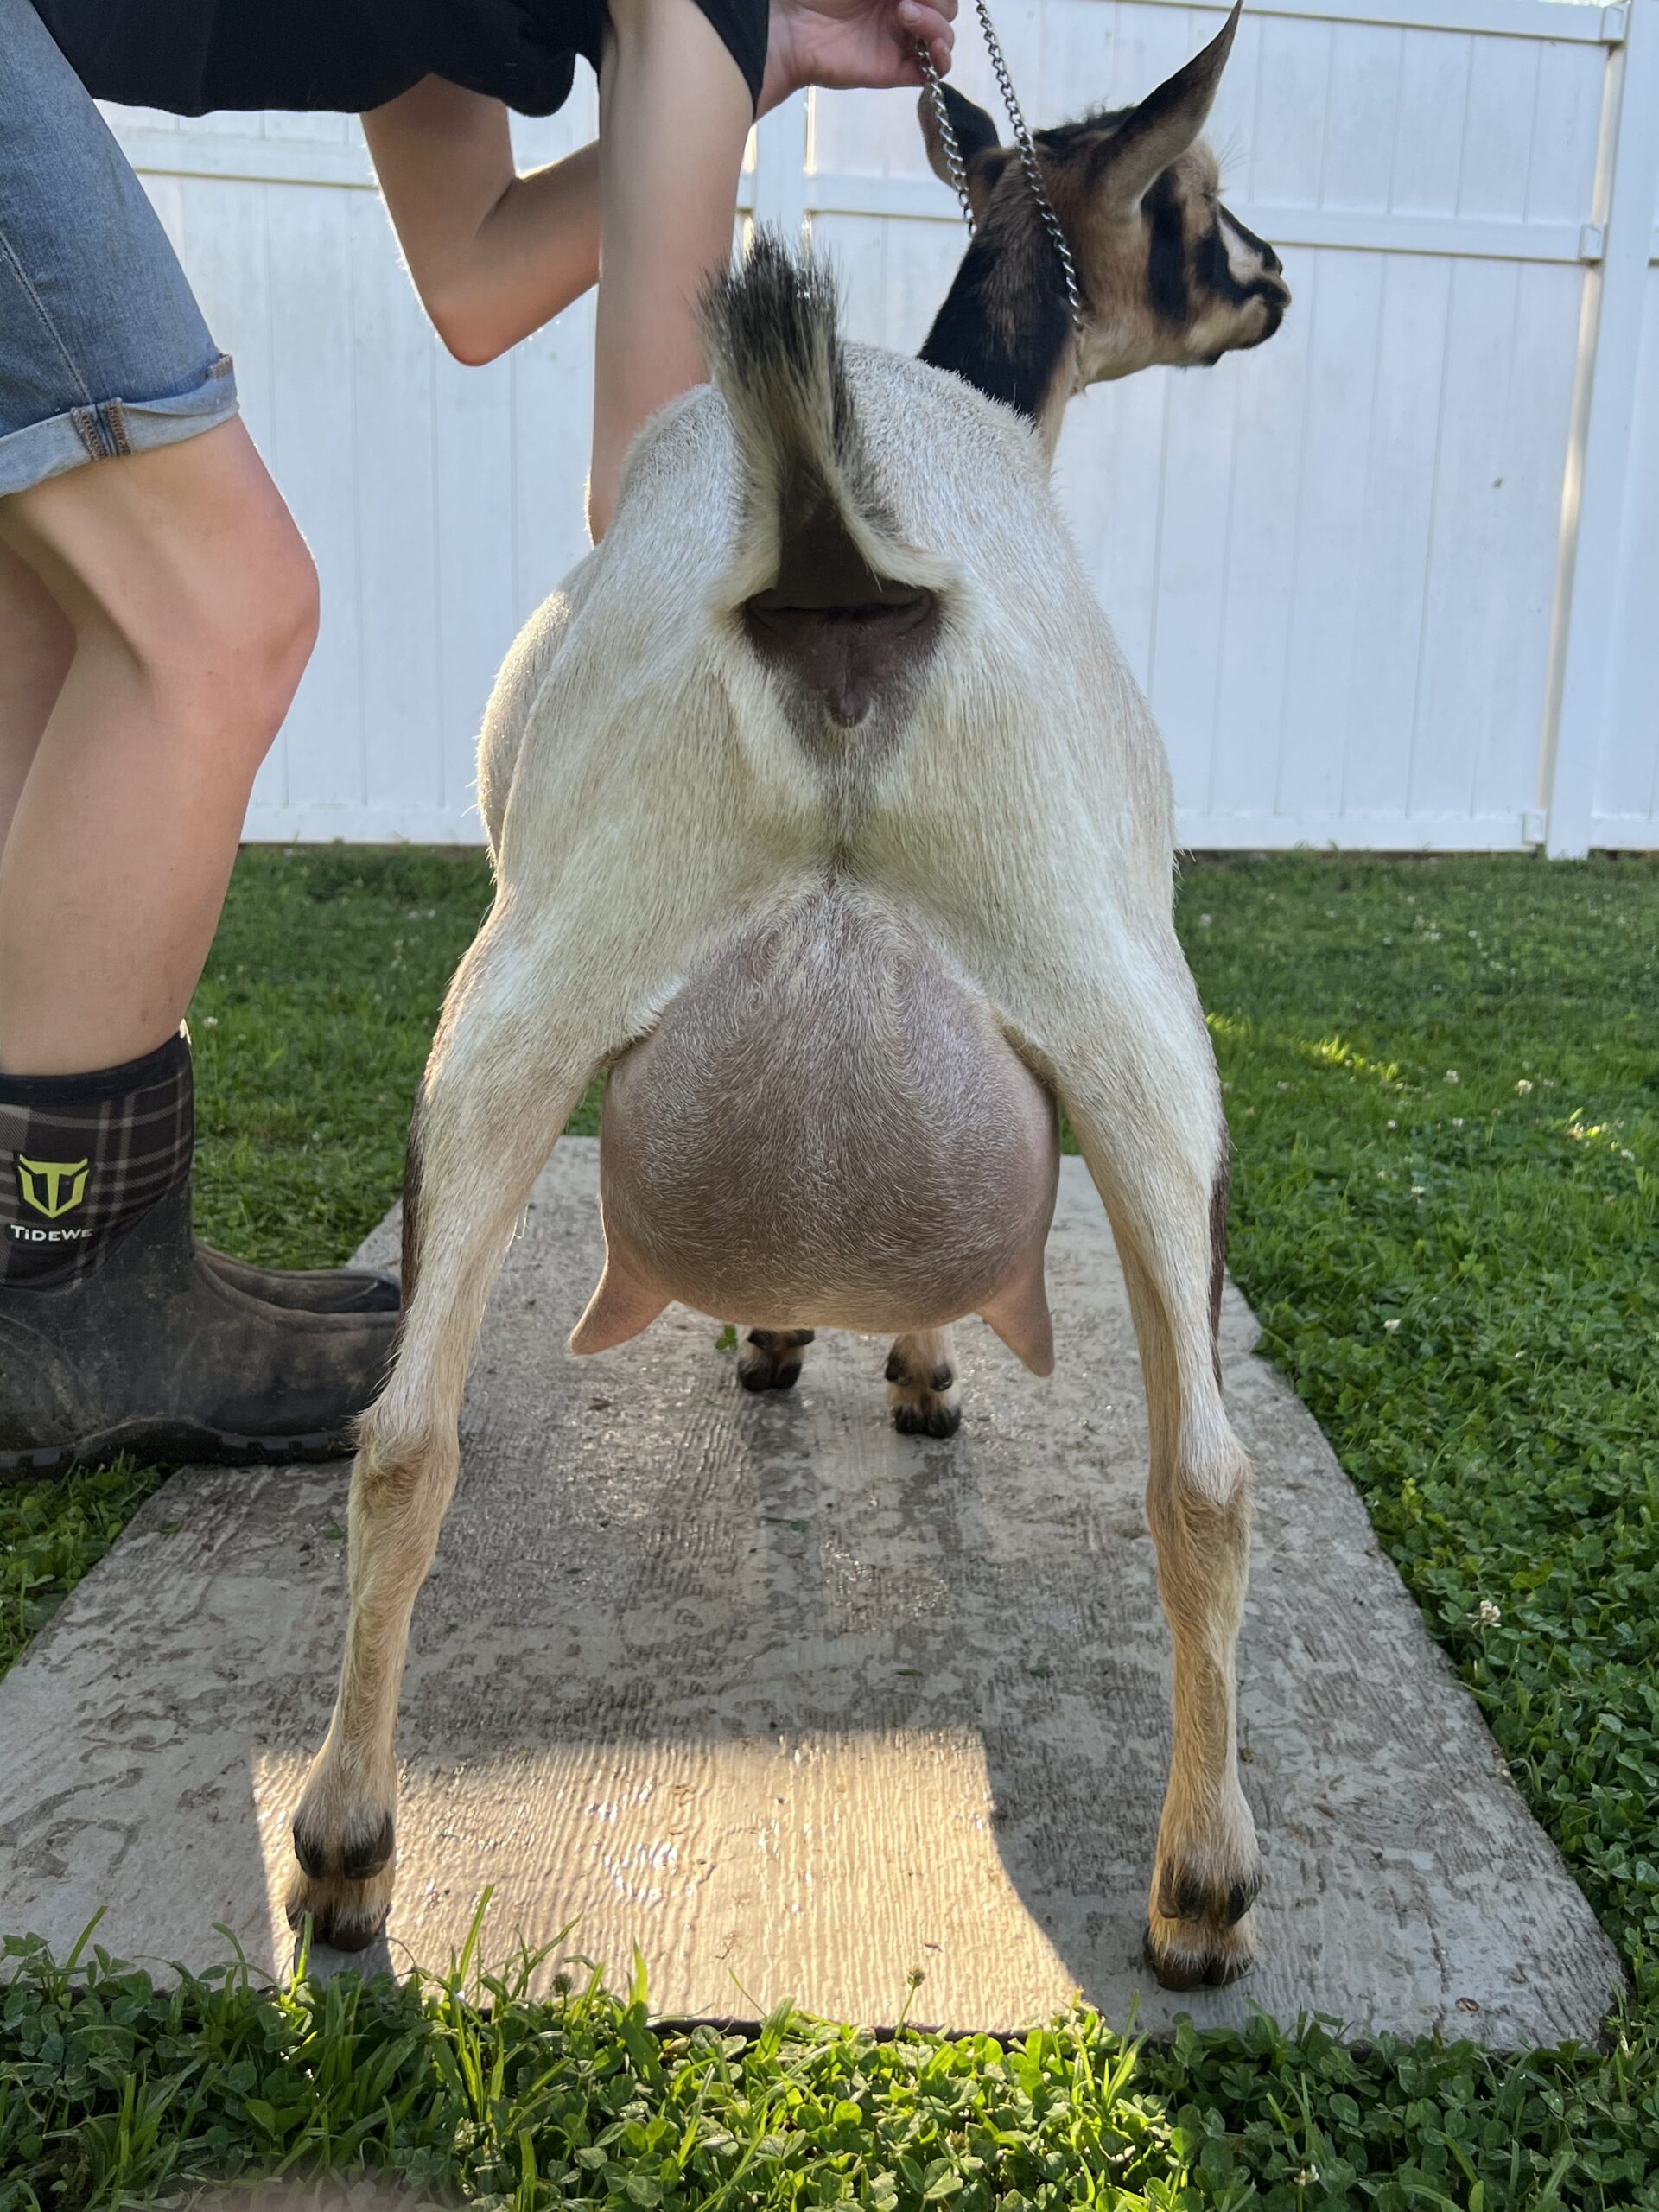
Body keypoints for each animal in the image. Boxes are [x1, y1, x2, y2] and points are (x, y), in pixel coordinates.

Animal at [287, 1, 1290, 1996]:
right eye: (1192, 197)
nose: (1278, 284)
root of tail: (839, 540)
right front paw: (880, 1363)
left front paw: (804, 1341)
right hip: (1114, 990)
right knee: (1203, 1472)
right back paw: (1203, 1890)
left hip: (539, 994)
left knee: (407, 1435)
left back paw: (350, 1853)